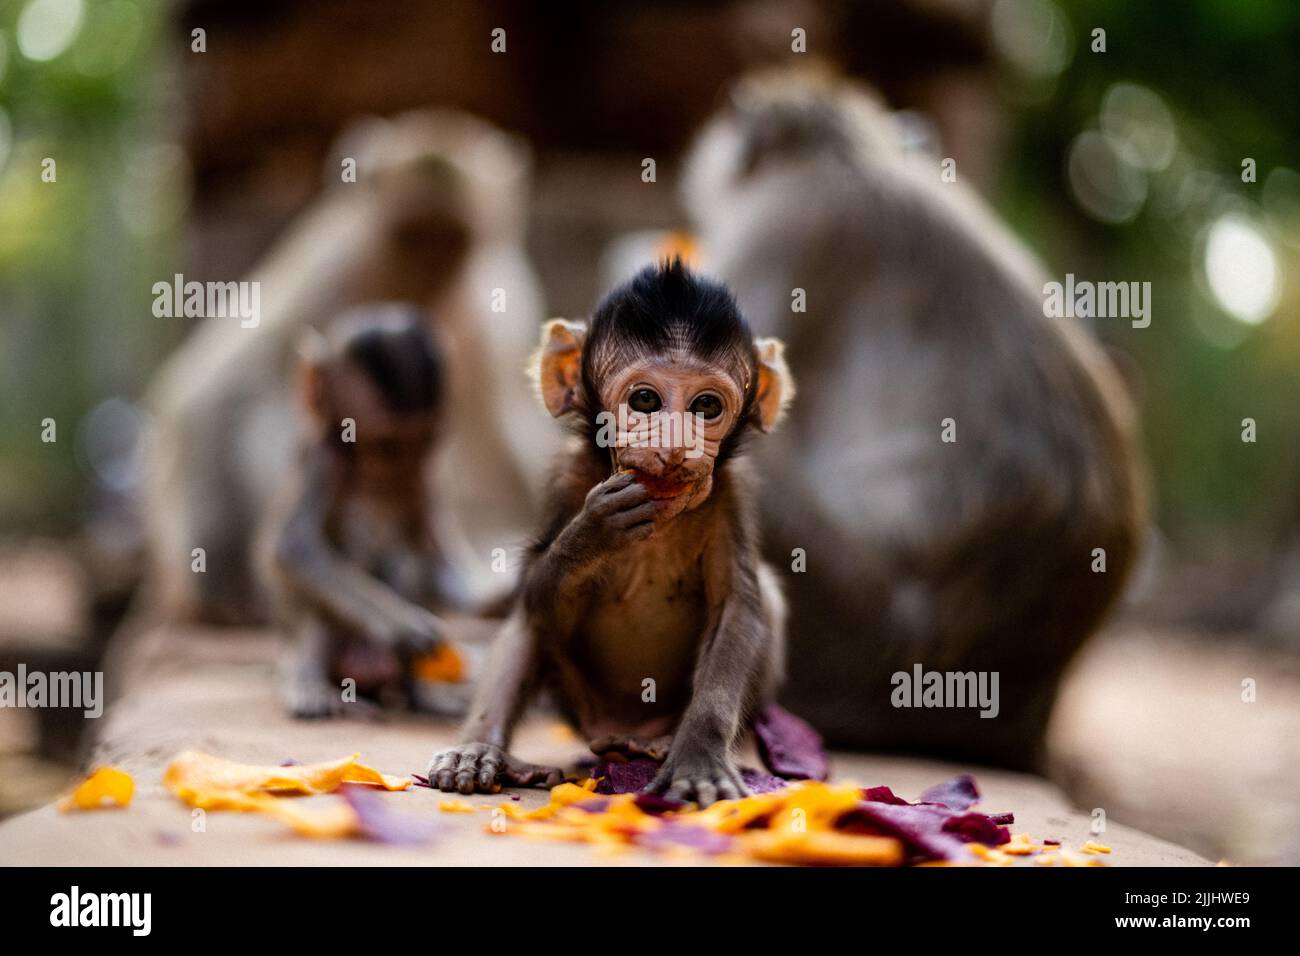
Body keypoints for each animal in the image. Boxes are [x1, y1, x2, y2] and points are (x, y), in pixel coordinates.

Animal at [143, 110, 551, 626]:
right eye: (411, 236)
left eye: (452, 240)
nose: (429, 265)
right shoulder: (331, 269)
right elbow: (221, 384)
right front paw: (213, 579)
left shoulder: (502, 295)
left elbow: (513, 415)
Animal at [259, 303, 465, 718]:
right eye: (388, 447)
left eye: (427, 442)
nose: (404, 476)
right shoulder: (320, 459)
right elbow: (294, 546)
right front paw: (400, 625)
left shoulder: (426, 480)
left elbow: (437, 555)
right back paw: (308, 685)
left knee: (412, 564)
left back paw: (418, 693)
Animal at [425, 260, 794, 805]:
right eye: (644, 400)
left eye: (706, 407)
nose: (675, 447)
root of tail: (619, 732)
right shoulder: (569, 475)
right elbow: (535, 597)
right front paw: (594, 532)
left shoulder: (731, 493)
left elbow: (738, 610)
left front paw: (700, 761)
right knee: (524, 624)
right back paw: (481, 752)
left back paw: (660, 744)